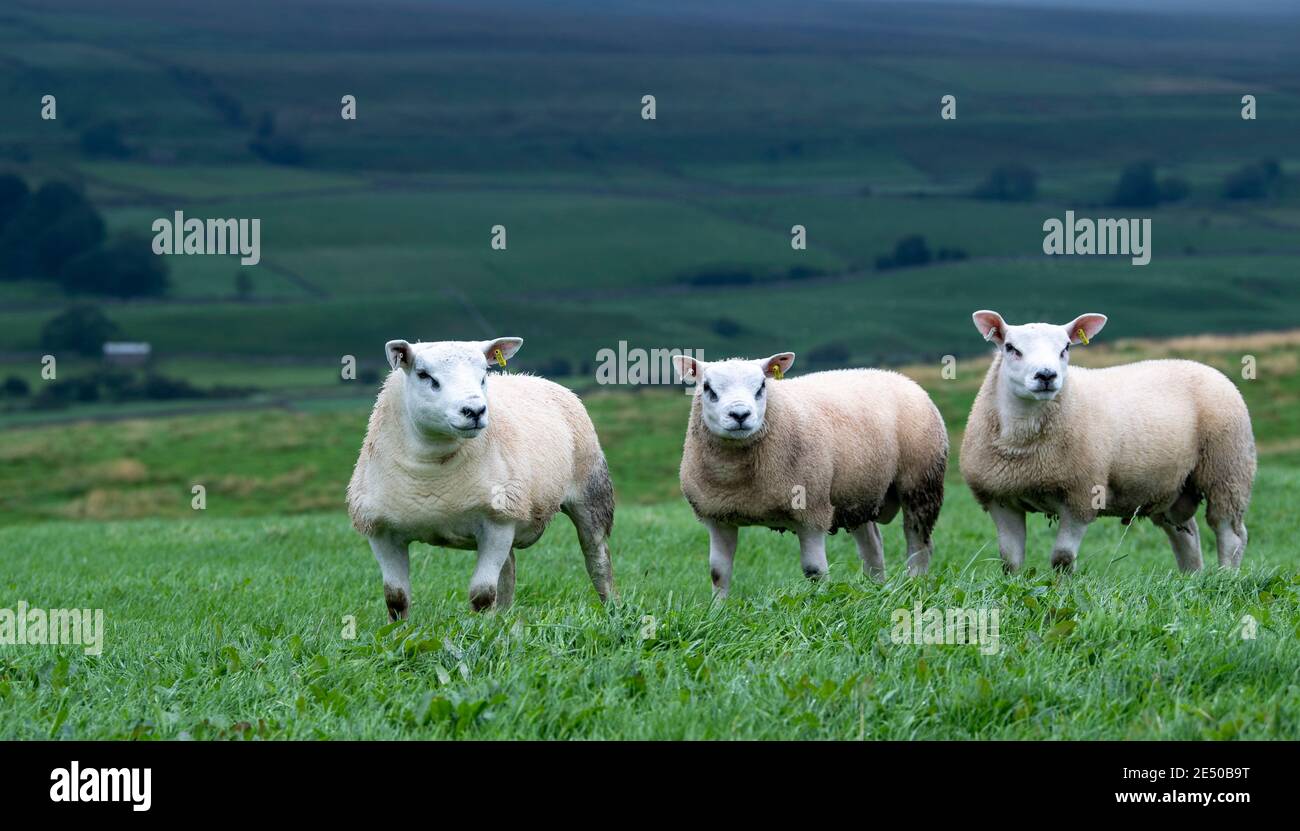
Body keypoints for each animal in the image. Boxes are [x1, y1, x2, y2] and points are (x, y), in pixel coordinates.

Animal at [347, 337, 615, 618]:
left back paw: (611, 610)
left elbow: (482, 594)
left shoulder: (497, 524)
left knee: (597, 559)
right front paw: (399, 628)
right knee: (508, 570)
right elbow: (396, 598)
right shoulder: (381, 531)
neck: (431, 475)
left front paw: (479, 627)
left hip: (590, 493)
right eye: (423, 374)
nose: (474, 410)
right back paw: (504, 618)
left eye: (484, 374)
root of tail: (538, 379)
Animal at [672, 352, 948, 595]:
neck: (736, 479)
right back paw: (876, 590)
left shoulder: (811, 512)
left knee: (919, 544)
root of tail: (899, 377)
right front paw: (718, 610)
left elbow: (814, 571)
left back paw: (914, 585)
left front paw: (821, 603)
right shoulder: (718, 517)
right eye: (708, 387)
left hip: (921, 482)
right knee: (873, 548)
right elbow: (718, 572)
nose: (740, 415)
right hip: (858, 493)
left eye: (761, 386)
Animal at [960, 310, 1256, 573]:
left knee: (1230, 533)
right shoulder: (1000, 498)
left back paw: (1224, 578)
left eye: (1065, 348)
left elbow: (1062, 558)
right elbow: (1010, 561)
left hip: (1227, 469)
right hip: (1170, 486)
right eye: (1011, 348)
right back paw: (1191, 578)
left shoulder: (1081, 495)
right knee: (1185, 534)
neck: (1023, 444)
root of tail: (1205, 367)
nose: (1046, 375)